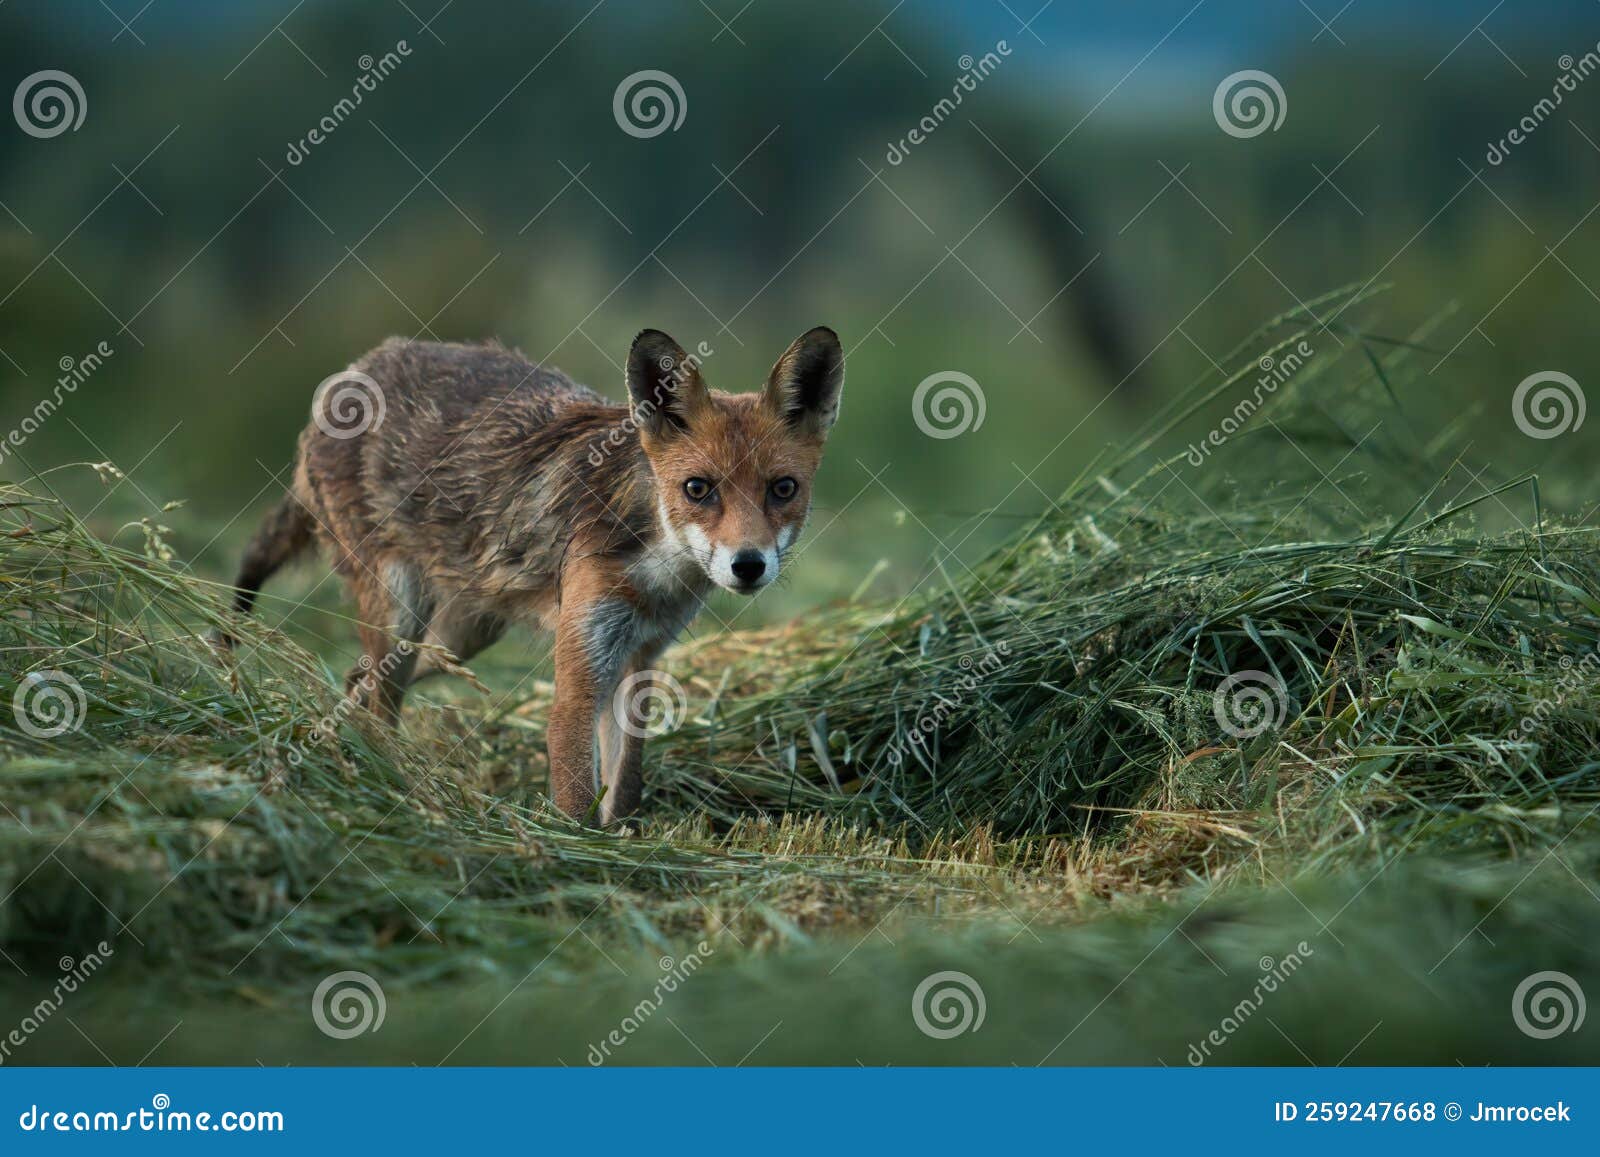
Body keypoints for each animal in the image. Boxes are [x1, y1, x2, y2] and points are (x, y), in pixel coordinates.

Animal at [226, 326, 844, 825]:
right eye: (698, 489)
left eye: (782, 489)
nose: (748, 564)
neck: (652, 570)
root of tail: (357, 370)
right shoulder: (579, 679)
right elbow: (576, 797)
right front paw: (583, 861)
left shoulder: (638, 662)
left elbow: (624, 789)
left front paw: (626, 846)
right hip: (403, 614)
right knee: (378, 707)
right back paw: (392, 785)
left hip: (460, 636)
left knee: (358, 683)